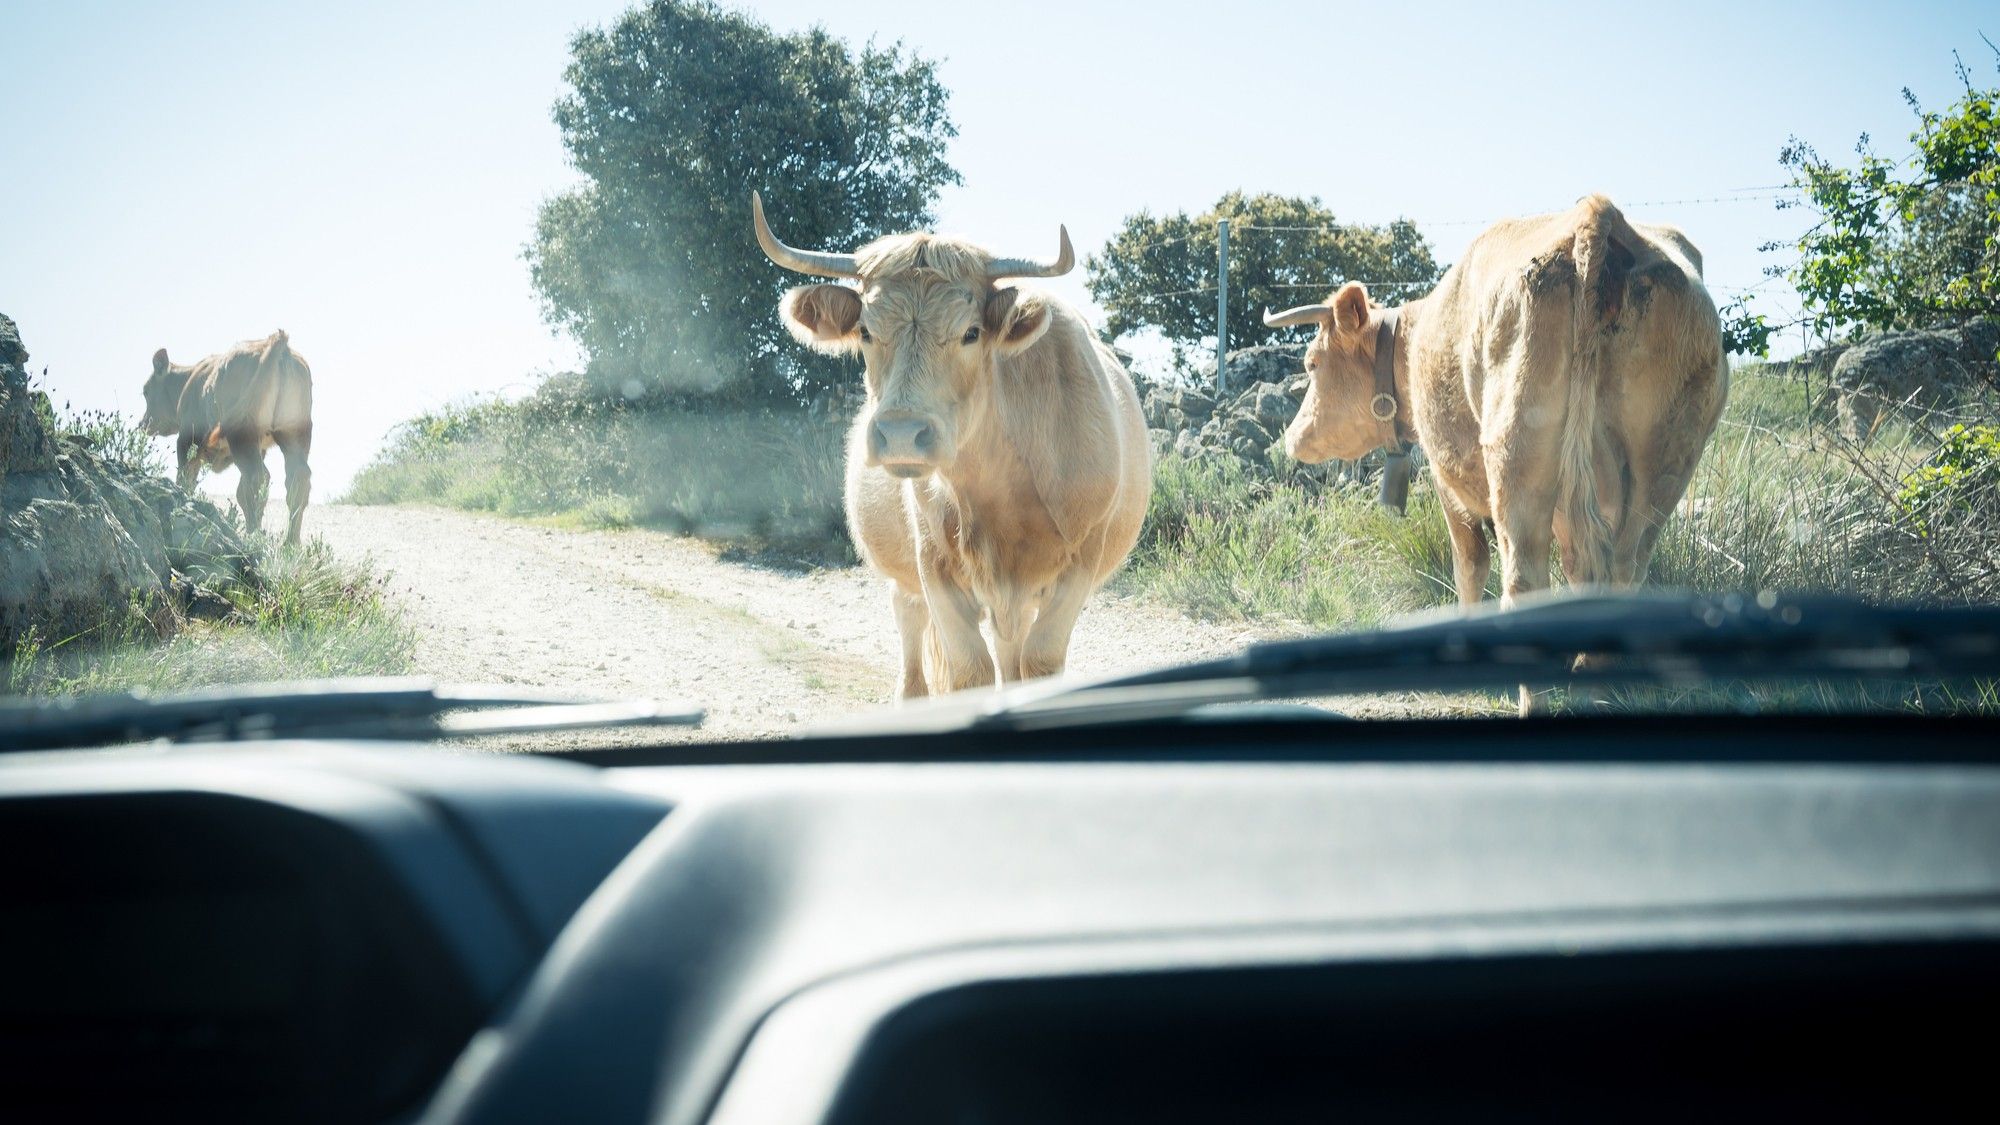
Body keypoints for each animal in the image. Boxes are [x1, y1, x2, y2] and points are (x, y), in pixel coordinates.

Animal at [141, 330, 315, 545]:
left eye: (145, 391)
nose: (143, 423)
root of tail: (279, 345)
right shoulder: (261, 448)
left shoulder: (187, 438)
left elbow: (186, 477)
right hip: (295, 430)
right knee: (296, 477)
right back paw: (290, 542)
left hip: (242, 431)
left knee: (257, 477)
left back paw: (254, 536)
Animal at [753, 192, 1150, 698]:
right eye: (865, 331)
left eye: (971, 333)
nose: (902, 434)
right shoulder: (935, 568)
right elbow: (970, 671)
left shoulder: (1078, 565)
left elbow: (1039, 662)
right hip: (907, 582)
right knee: (912, 646)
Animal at [1263, 195, 1727, 714]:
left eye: (1312, 363)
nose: (1292, 437)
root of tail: (1597, 213)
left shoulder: (1447, 478)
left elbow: (1469, 563)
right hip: (1665, 460)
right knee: (1624, 571)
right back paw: (1594, 687)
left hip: (1517, 447)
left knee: (1523, 580)